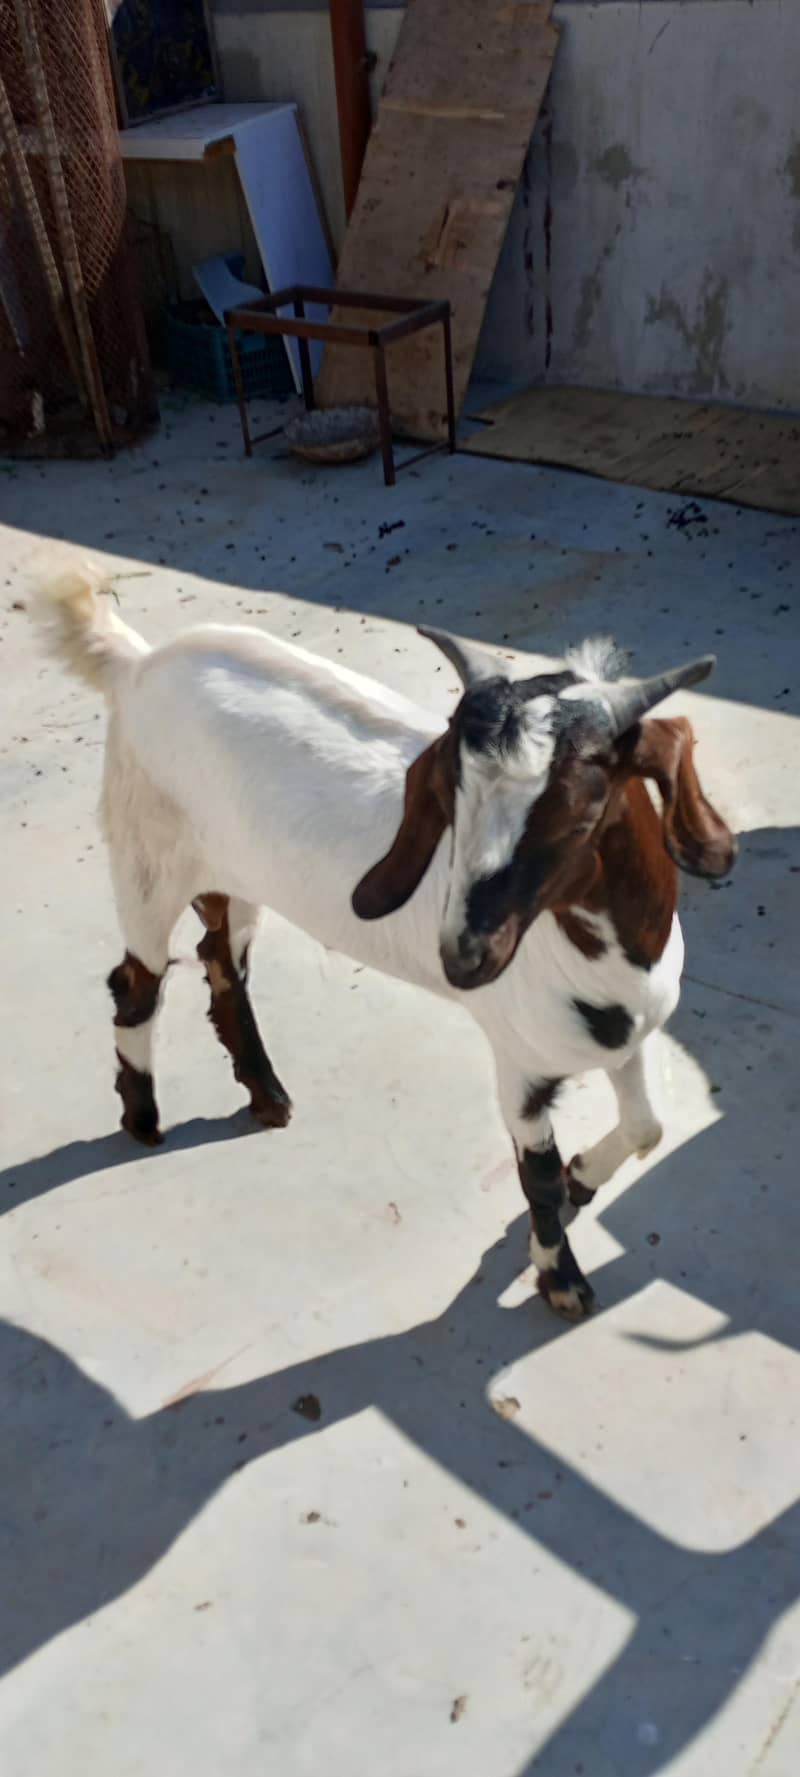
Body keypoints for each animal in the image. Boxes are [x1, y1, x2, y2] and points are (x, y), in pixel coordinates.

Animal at [37, 570, 736, 1318]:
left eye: (581, 808)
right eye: (451, 798)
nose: (464, 955)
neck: (611, 956)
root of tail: (134, 662)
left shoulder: (630, 1031)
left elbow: (648, 1127)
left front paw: (584, 1176)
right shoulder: (521, 1064)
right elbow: (539, 1177)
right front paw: (560, 1276)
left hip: (236, 872)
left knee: (221, 961)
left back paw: (266, 1094)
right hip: (146, 859)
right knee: (136, 983)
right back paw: (143, 1118)